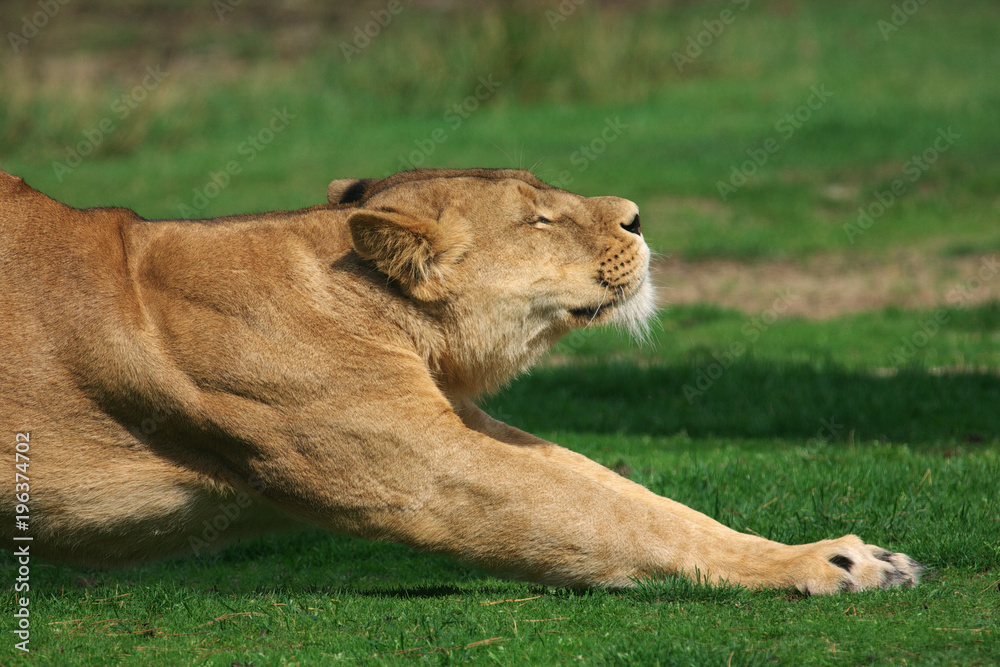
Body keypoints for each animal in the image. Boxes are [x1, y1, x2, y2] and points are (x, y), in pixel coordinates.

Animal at [0, 167, 920, 594]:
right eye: (539, 218)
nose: (635, 216)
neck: (359, 294)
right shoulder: (424, 468)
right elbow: (611, 517)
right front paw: (827, 562)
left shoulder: (454, 417)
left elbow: (623, 492)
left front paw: (857, 554)